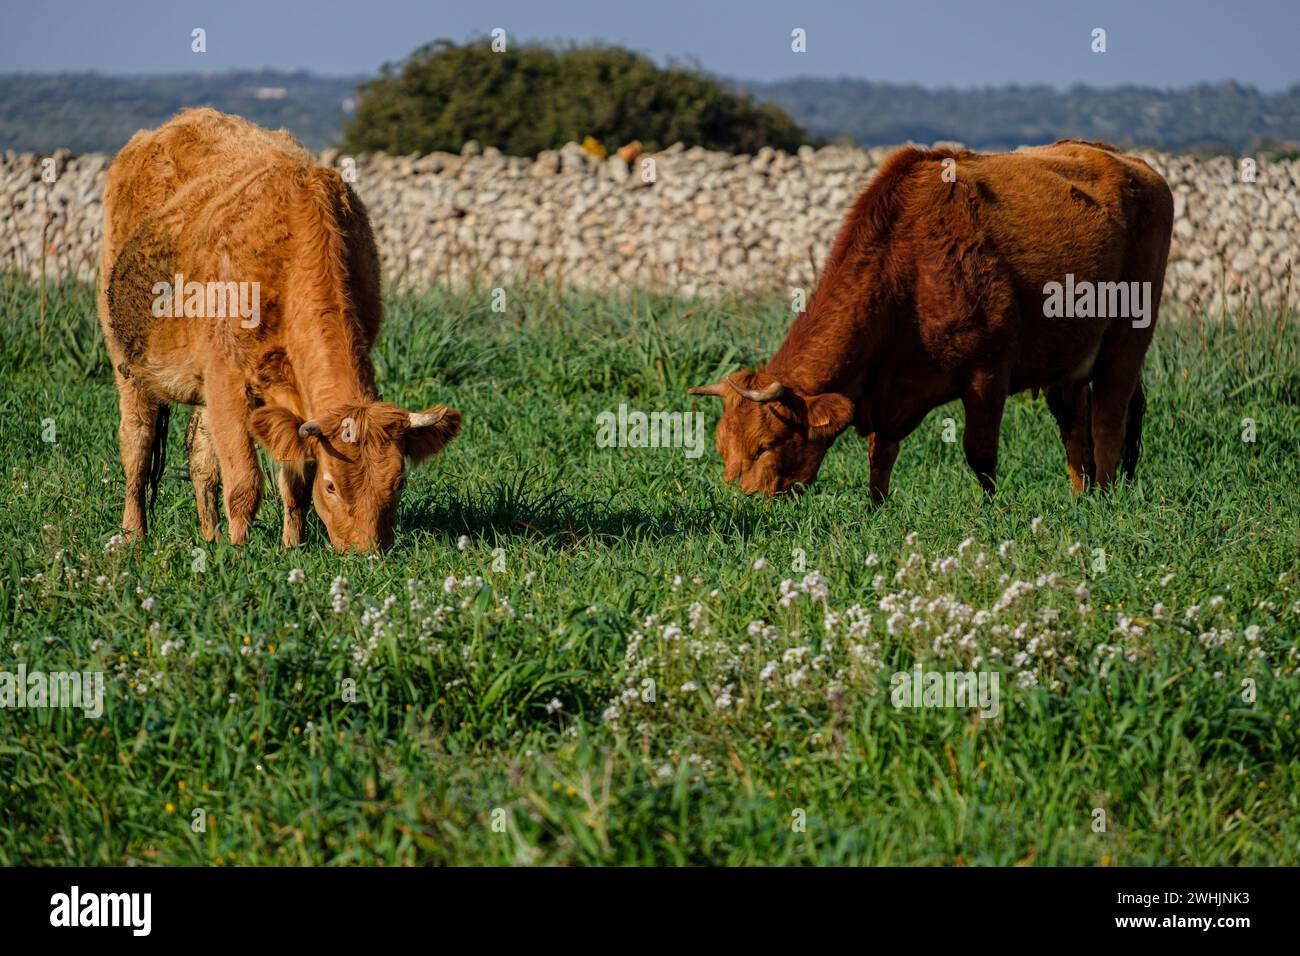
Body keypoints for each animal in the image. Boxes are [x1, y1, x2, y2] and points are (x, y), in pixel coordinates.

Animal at [98, 108, 460, 552]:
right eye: (332, 485)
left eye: (399, 482)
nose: (367, 553)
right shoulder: (228, 380)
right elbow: (244, 482)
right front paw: (239, 552)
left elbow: (293, 483)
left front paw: (293, 545)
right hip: (126, 359)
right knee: (137, 444)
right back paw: (134, 533)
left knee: (202, 461)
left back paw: (210, 536)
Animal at [689, 140, 1173, 500]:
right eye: (721, 447)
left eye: (766, 445)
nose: (740, 501)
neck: (909, 265)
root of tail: (1130, 162)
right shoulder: (889, 396)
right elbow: (880, 455)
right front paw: (876, 509)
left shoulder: (988, 368)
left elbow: (980, 452)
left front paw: (990, 512)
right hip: (1068, 359)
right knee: (1075, 425)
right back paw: (1080, 497)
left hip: (1128, 337)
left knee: (1109, 418)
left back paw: (1104, 498)